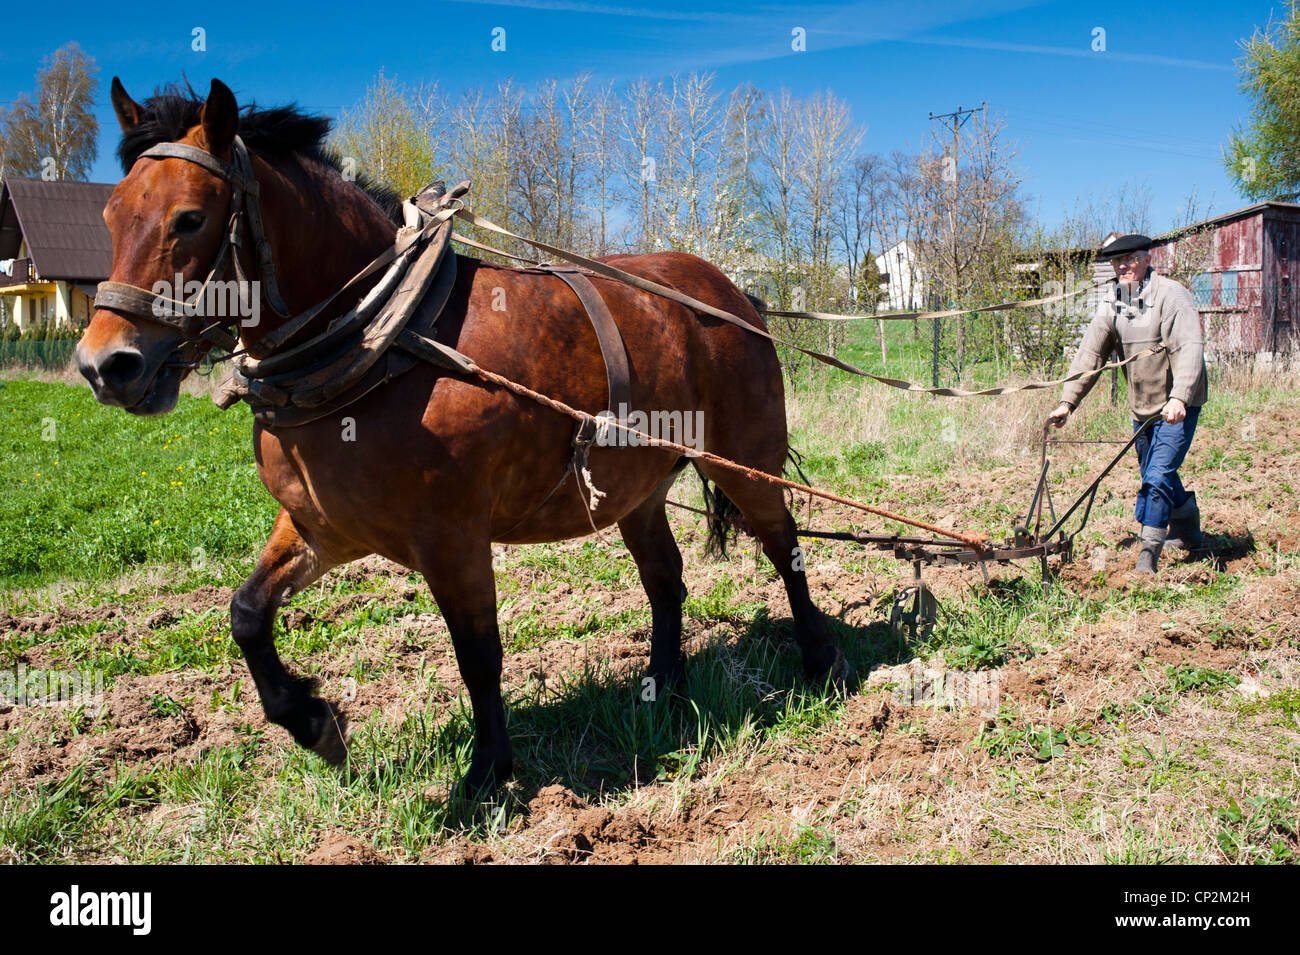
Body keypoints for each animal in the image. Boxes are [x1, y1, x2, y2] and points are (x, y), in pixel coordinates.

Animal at [75, 78, 847, 795]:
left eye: (190, 218)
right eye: (110, 214)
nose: (104, 364)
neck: (382, 338)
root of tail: (735, 294)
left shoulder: (451, 537)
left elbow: (478, 650)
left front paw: (484, 773)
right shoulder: (323, 527)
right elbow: (246, 613)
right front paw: (311, 720)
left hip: (746, 461)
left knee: (785, 546)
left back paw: (821, 659)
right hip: (637, 489)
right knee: (666, 579)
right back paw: (662, 684)